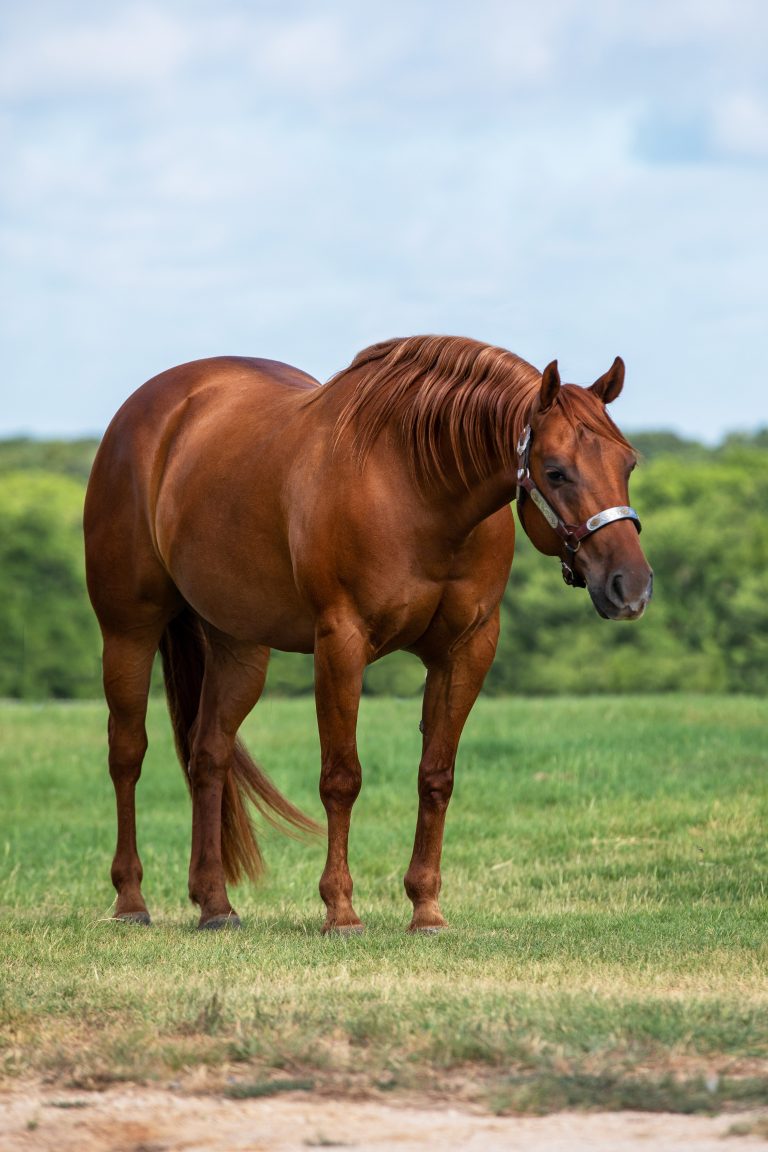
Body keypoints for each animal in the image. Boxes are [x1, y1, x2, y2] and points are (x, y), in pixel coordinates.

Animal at [84, 335, 652, 933]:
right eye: (556, 470)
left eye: (628, 462)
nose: (631, 586)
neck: (416, 489)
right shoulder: (341, 642)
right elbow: (342, 778)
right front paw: (341, 911)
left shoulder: (466, 649)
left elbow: (436, 776)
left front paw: (426, 909)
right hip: (128, 629)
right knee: (127, 753)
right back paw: (131, 900)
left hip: (239, 647)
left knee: (208, 756)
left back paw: (216, 906)